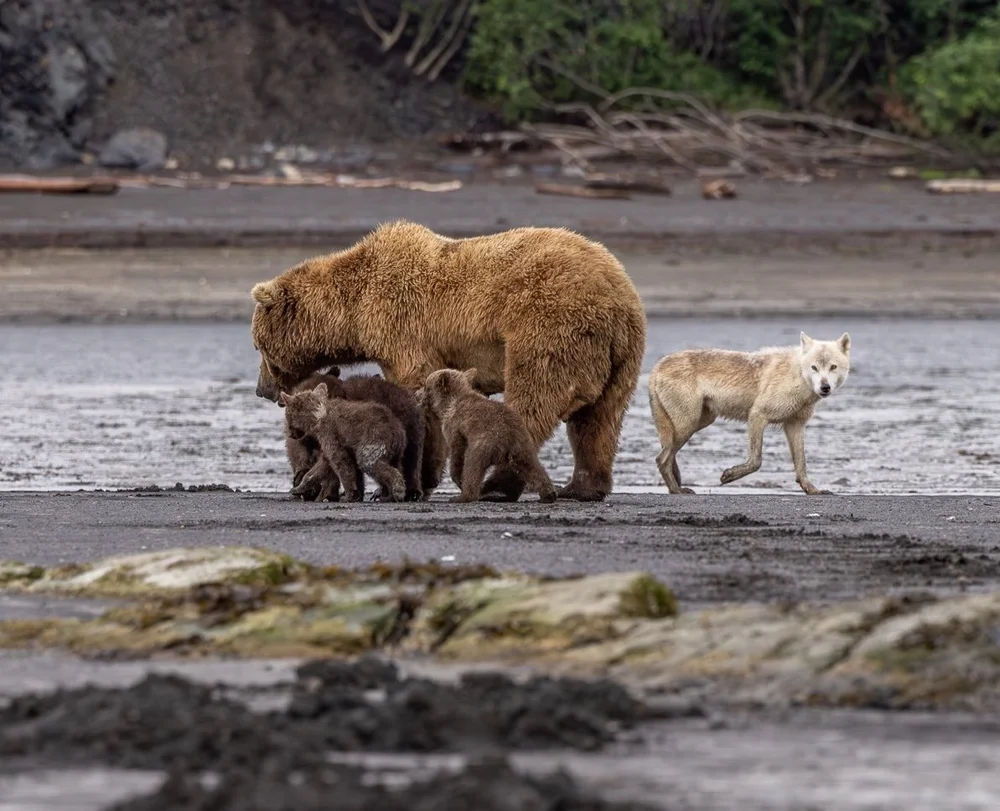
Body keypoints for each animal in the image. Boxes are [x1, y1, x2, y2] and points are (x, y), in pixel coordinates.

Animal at [422, 368, 558, 504]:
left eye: (427, 385)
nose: (420, 391)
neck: (449, 402)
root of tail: (509, 438)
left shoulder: (454, 426)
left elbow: (457, 452)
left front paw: (458, 479)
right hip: (523, 444)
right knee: (534, 467)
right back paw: (548, 494)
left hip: (484, 442)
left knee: (472, 467)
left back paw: (462, 496)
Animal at [648, 332, 851, 495]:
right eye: (814, 367)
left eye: (833, 367)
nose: (825, 387)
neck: (797, 377)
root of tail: (657, 366)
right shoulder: (757, 416)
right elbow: (756, 461)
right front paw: (729, 475)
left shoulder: (795, 425)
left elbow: (801, 464)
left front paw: (812, 490)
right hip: (688, 426)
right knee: (661, 459)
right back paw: (676, 490)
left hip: (700, 422)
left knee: (667, 456)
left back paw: (676, 487)